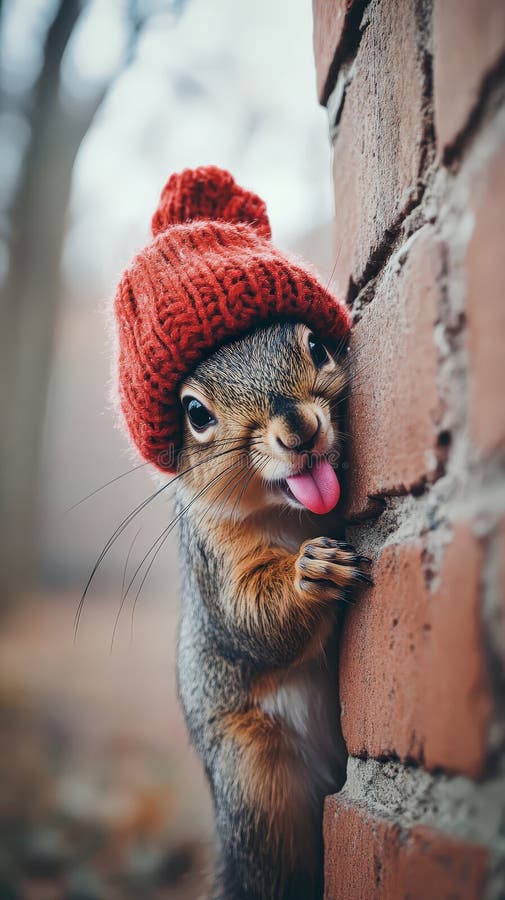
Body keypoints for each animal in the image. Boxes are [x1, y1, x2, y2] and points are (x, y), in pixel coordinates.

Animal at [113, 167, 371, 900]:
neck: (293, 516)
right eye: (195, 414)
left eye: (315, 344)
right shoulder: (214, 559)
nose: (298, 428)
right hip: (258, 790)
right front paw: (311, 574)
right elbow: (248, 617)